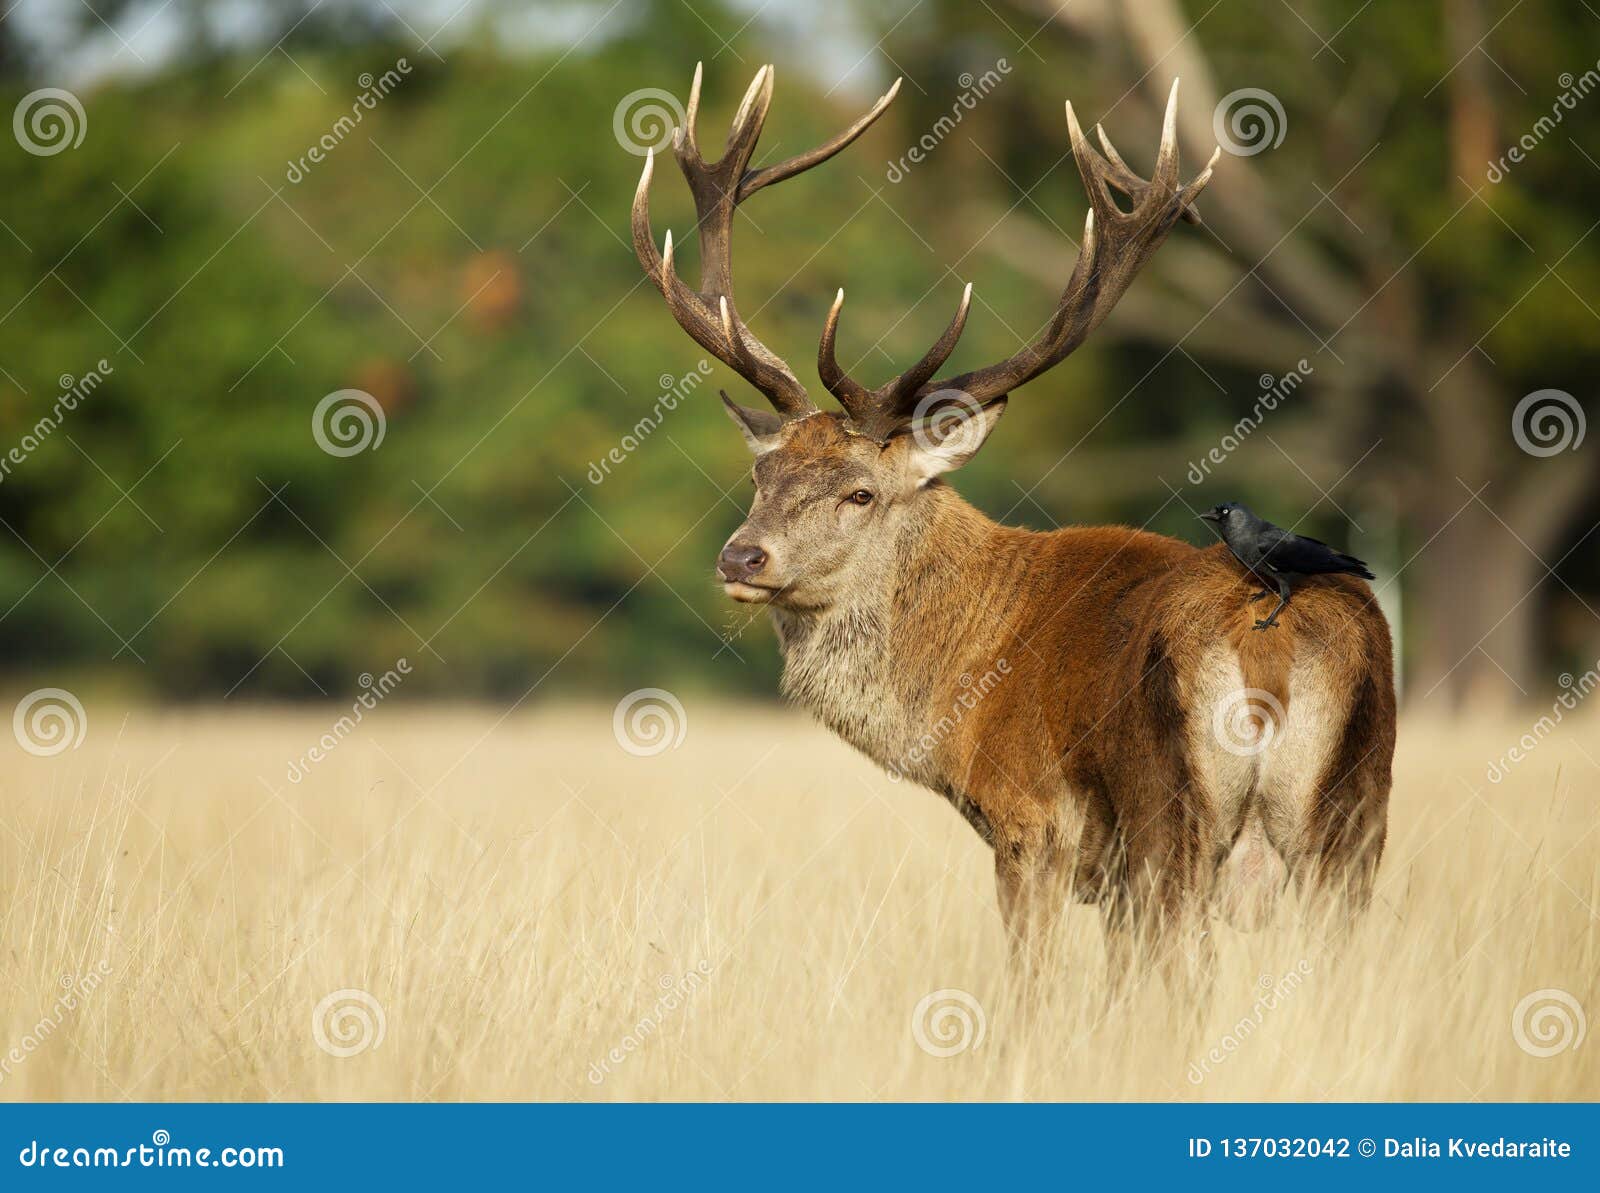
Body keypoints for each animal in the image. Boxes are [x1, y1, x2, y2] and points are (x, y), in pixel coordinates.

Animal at [630, 63, 1395, 983]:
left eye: (861, 493)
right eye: (761, 472)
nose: (742, 557)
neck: (960, 682)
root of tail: (1270, 653)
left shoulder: (1030, 818)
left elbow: (1034, 980)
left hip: (1170, 815)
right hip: (1352, 814)